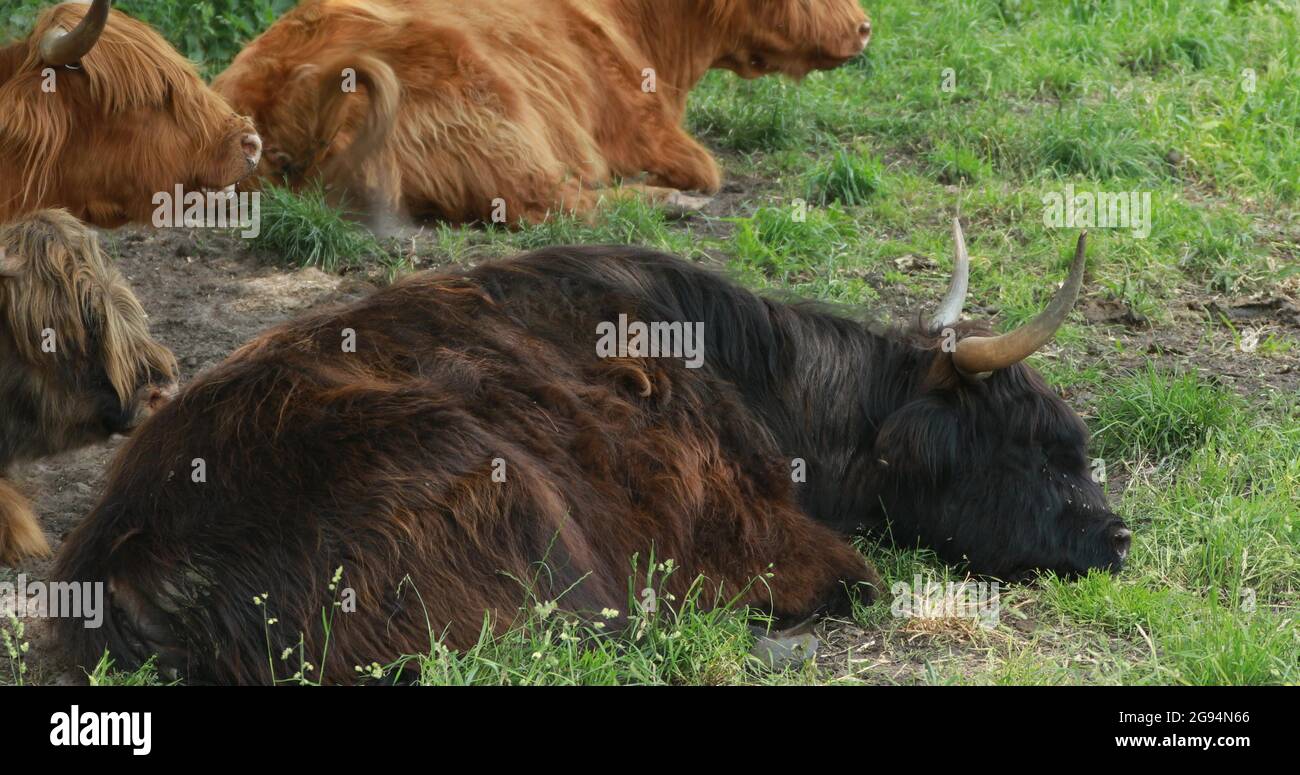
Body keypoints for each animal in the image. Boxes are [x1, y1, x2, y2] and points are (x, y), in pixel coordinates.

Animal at [54, 221, 1128, 684]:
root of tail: (124, 560)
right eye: (1037, 446)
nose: (1116, 539)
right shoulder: (756, 534)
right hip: (514, 506)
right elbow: (859, 580)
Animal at [211, 0, 873, 226]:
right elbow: (709, 167)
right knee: (552, 202)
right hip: (495, 109)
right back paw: (671, 202)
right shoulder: (647, 131)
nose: (866, 26)